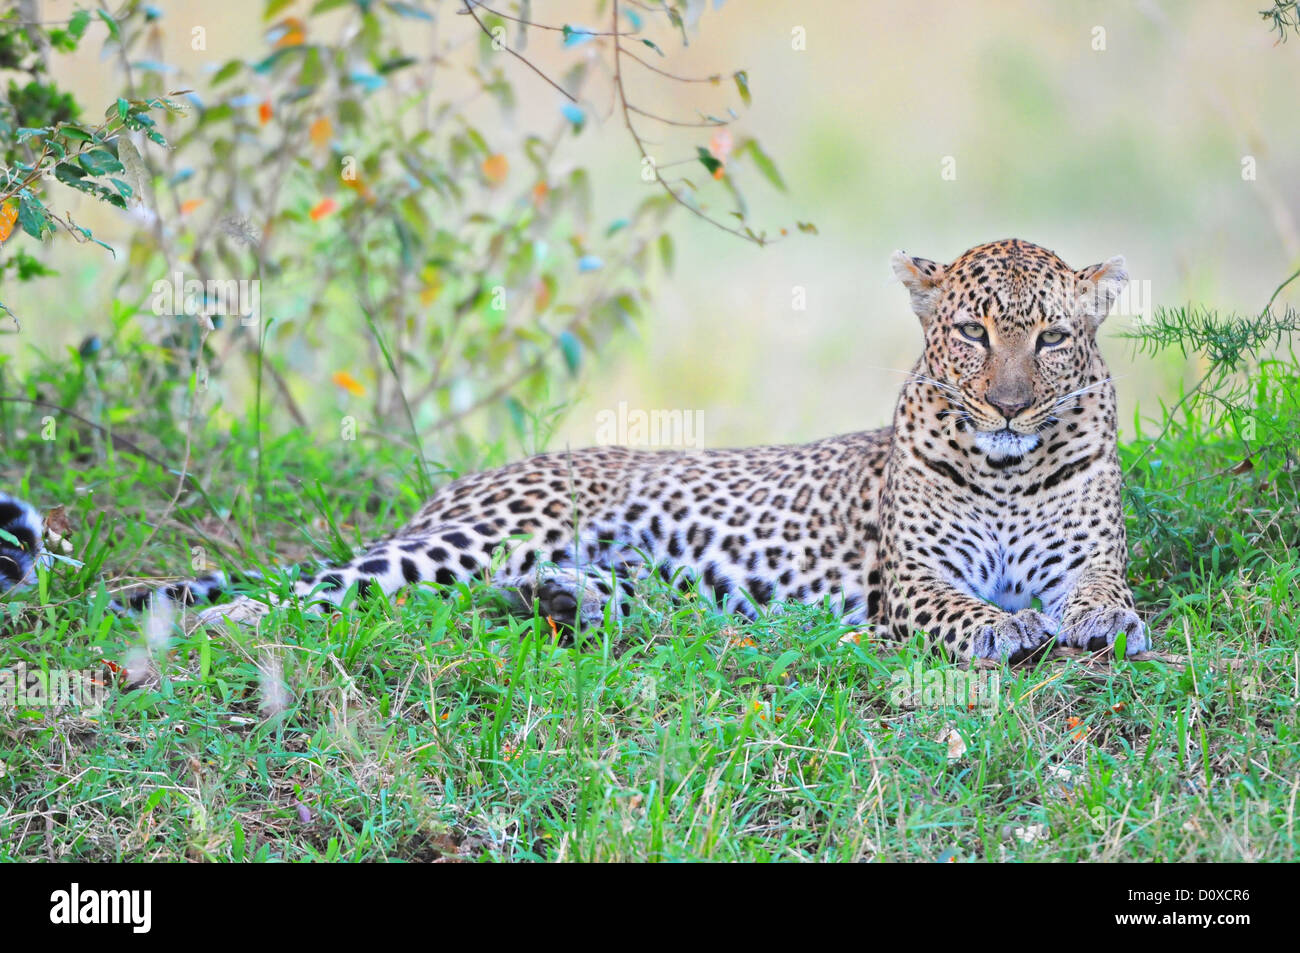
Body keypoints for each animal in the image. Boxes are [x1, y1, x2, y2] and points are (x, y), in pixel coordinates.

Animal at [0, 238, 1147, 661]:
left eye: (1049, 336)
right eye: (972, 333)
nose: (1008, 402)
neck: (1008, 468)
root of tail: (465, 481)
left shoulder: (1088, 550)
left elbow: (1102, 587)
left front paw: (1106, 623)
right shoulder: (909, 582)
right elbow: (962, 603)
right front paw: (1005, 628)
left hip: (609, 574)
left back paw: (562, 602)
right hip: (465, 539)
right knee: (310, 590)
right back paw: (221, 626)